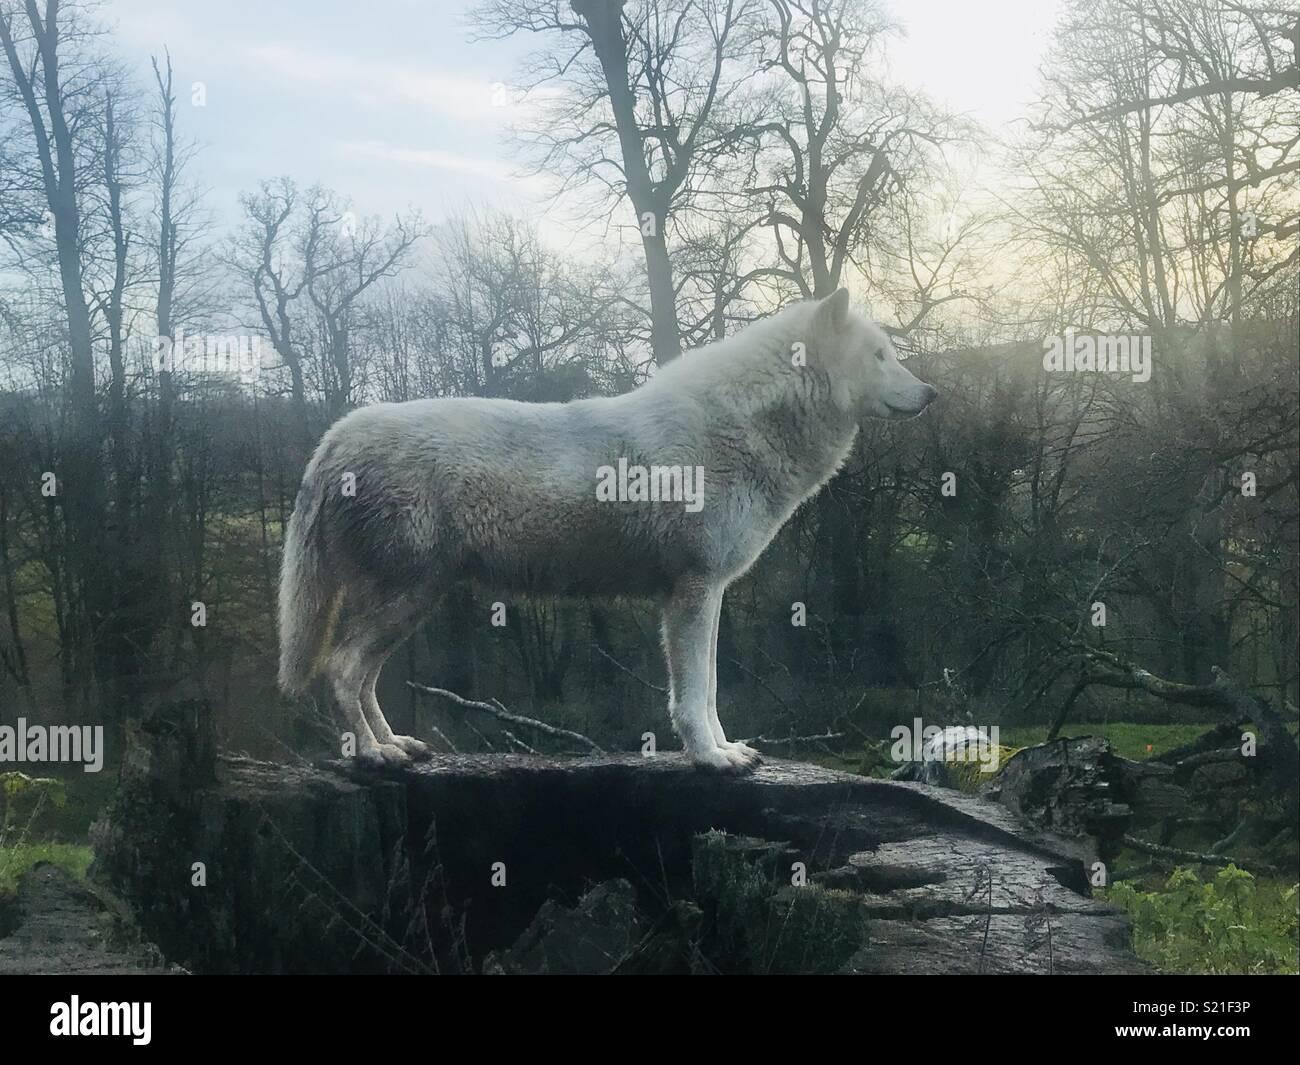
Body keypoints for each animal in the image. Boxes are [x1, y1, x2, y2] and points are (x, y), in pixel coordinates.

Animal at [278, 289, 937, 772]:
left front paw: (726, 749)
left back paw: (395, 745)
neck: (743, 426)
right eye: (882, 355)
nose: (932, 391)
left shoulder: (709, 595)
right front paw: (708, 758)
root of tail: (334, 438)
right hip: (407, 600)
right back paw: (372, 754)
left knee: (360, 676)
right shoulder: (691, 594)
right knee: (342, 669)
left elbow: (711, 688)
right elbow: (692, 694)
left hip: (411, 605)